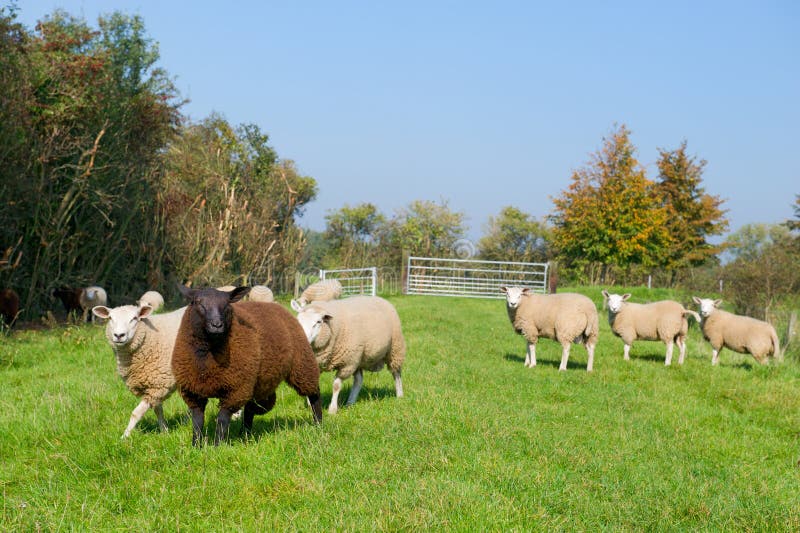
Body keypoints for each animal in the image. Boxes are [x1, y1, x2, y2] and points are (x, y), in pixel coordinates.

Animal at [91, 304, 186, 438]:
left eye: (134, 318)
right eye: (110, 318)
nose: (119, 335)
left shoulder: (159, 384)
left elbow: (136, 413)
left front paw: (124, 437)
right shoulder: (154, 386)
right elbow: (158, 409)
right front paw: (164, 431)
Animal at [171, 285, 323, 446]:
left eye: (227, 304)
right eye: (198, 302)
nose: (217, 325)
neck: (208, 358)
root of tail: (276, 306)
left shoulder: (236, 389)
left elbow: (222, 419)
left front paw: (217, 445)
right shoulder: (192, 391)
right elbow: (197, 421)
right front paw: (196, 445)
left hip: (301, 364)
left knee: (314, 393)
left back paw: (318, 424)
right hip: (257, 381)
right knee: (250, 408)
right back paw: (245, 435)